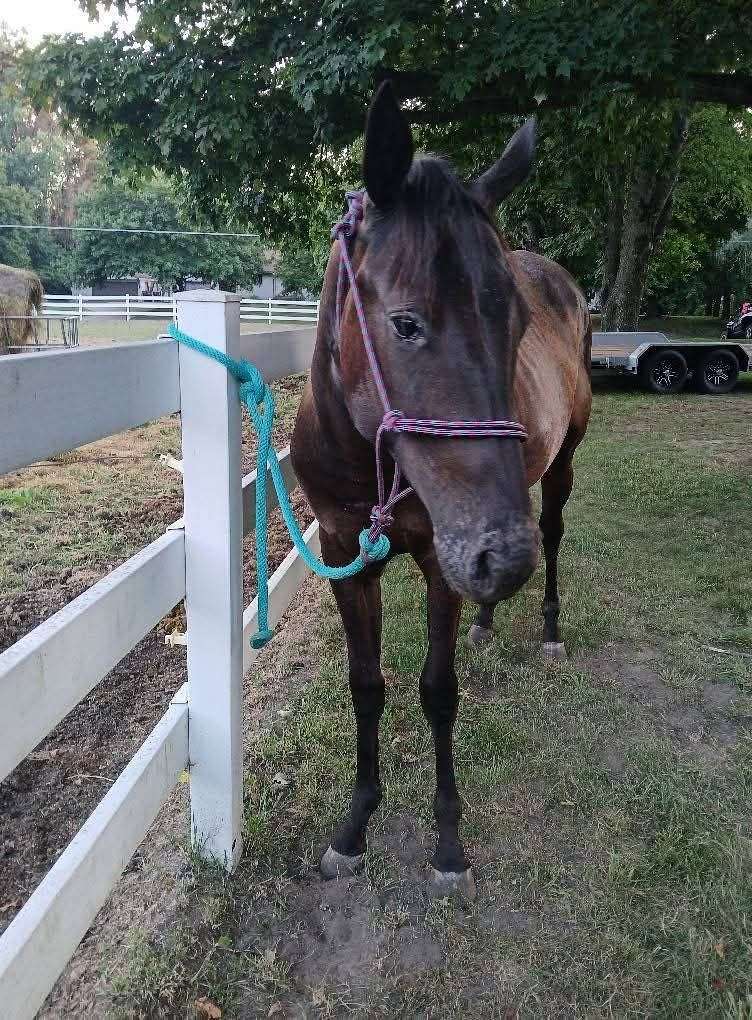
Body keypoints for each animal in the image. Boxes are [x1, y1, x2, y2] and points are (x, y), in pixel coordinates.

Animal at [290, 82, 592, 897]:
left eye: (517, 321)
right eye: (405, 322)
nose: (501, 558)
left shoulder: (438, 560)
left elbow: (436, 691)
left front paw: (448, 843)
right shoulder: (346, 554)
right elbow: (366, 684)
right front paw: (355, 825)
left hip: (561, 465)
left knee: (554, 533)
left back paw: (547, 628)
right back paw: (490, 617)